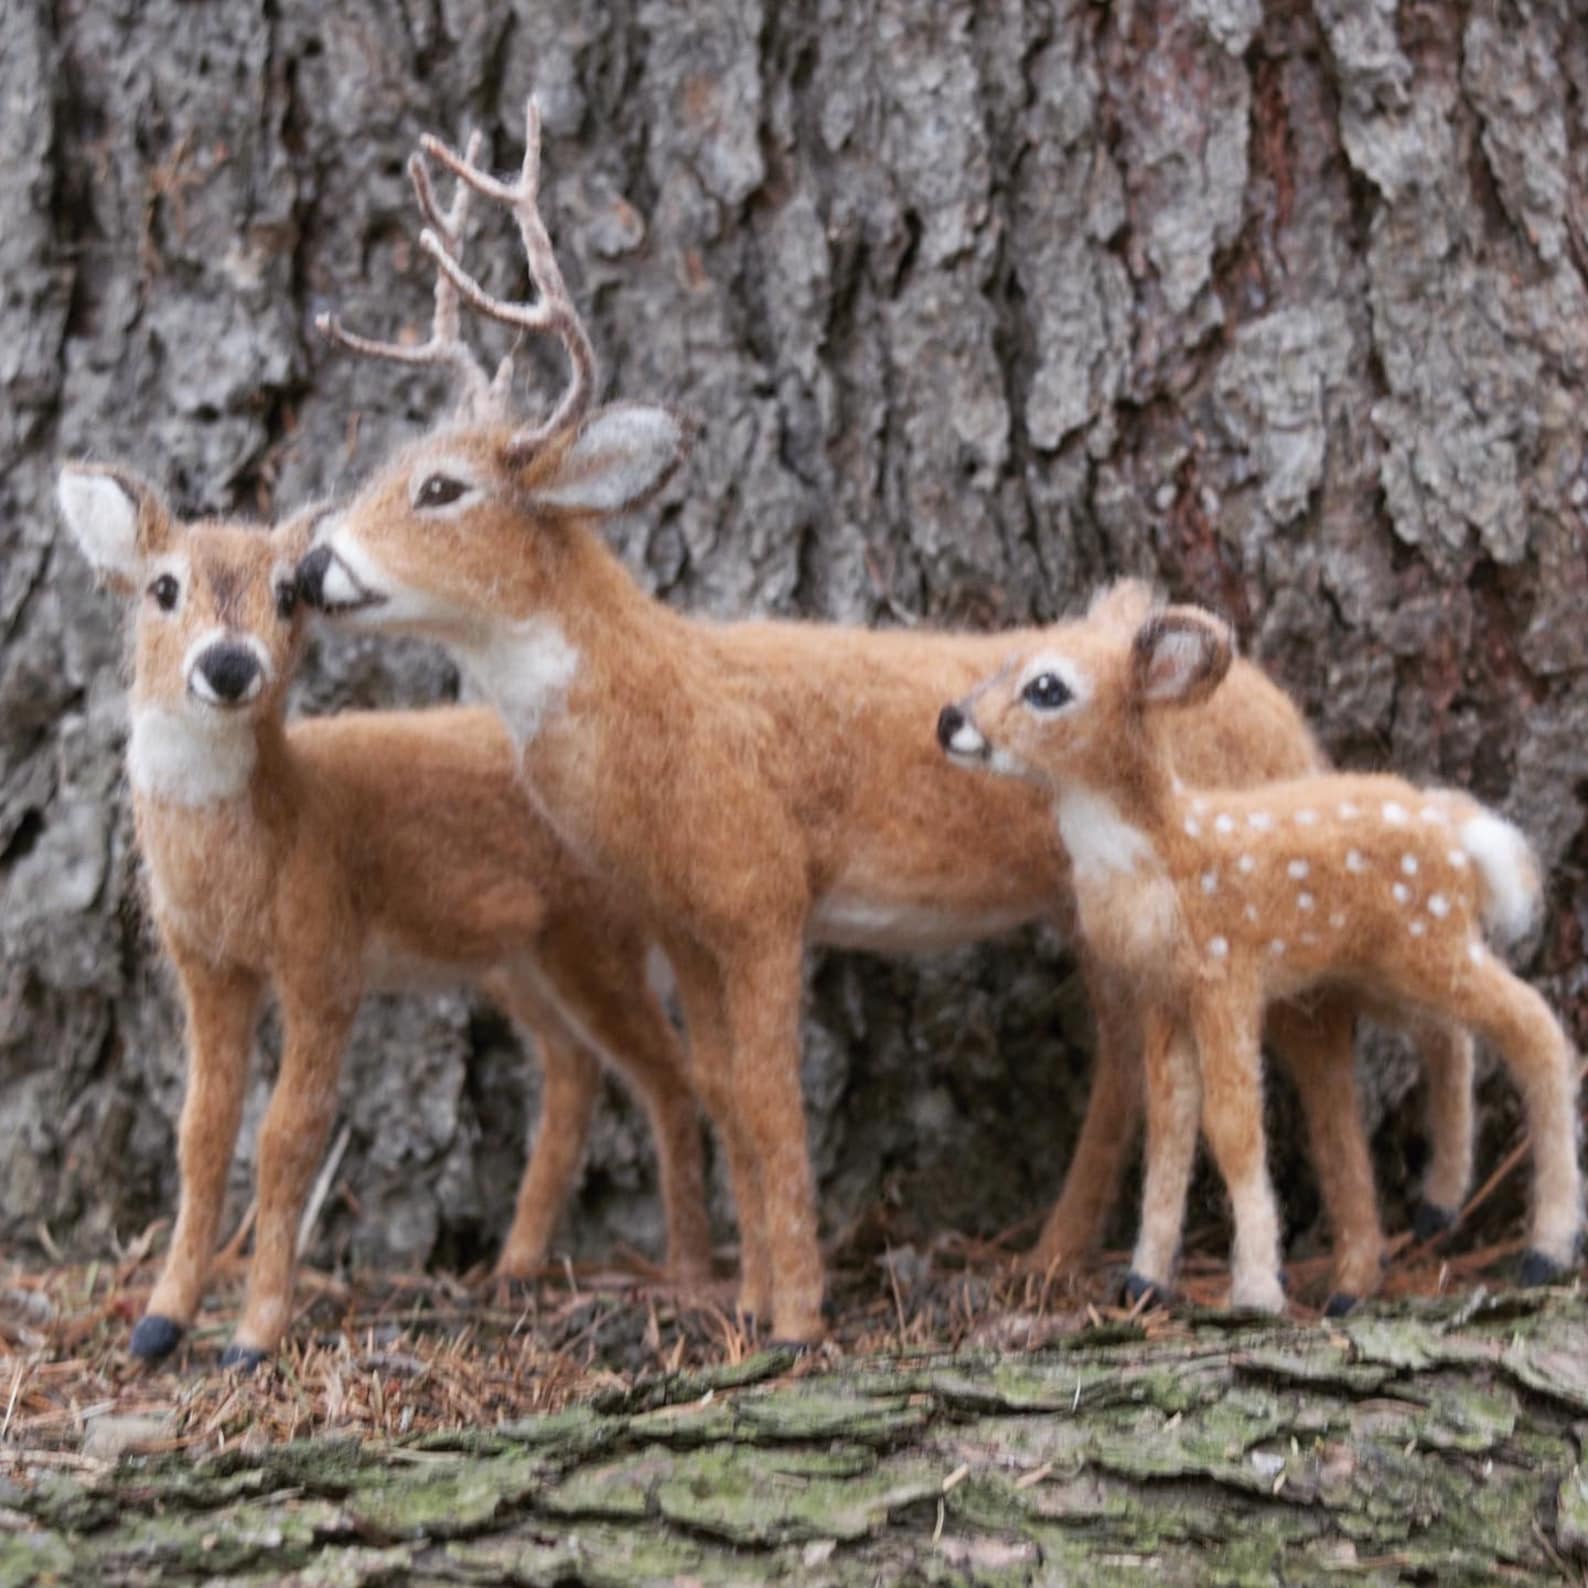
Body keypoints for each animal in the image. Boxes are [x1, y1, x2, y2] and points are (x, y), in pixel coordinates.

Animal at [56, 464, 711, 1369]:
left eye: (287, 593)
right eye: (162, 587)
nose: (228, 663)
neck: (260, 844)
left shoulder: (321, 946)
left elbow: (287, 1137)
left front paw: (253, 1337)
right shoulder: (204, 963)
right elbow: (201, 1131)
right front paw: (158, 1323)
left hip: (592, 932)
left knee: (666, 1073)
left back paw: (684, 1270)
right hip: (516, 957)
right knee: (573, 1067)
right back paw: (515, 1267)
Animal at [295, 98, 1479, 1341]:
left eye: (442, 490)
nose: (309, 569)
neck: (655, 707)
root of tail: (1283, 714)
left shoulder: (760, 888)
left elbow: (772, 1099)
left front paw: (796, 1318)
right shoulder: (682, 916)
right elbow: (722, 1090)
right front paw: (747, 1297)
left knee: (1309, 1042)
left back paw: (1354, 1250)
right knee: (1133, 1059)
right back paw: (1062, 1258)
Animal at [939, 590, 1583, 1309]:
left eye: (1047, 688)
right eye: (1005, 660)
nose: (950, 720)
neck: (1161, 858)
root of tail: (1456, 829)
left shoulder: (1225, 974)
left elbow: (1233, 1124)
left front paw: (1254, 1289)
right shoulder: (1163, 994)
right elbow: (1171, 1125)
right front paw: (1144, 1280)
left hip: (1429, 940)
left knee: (1535, 1027)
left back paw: (1547, 1250)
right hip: (1388, 965)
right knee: (1450, 1037)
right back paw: (1438, 1207)